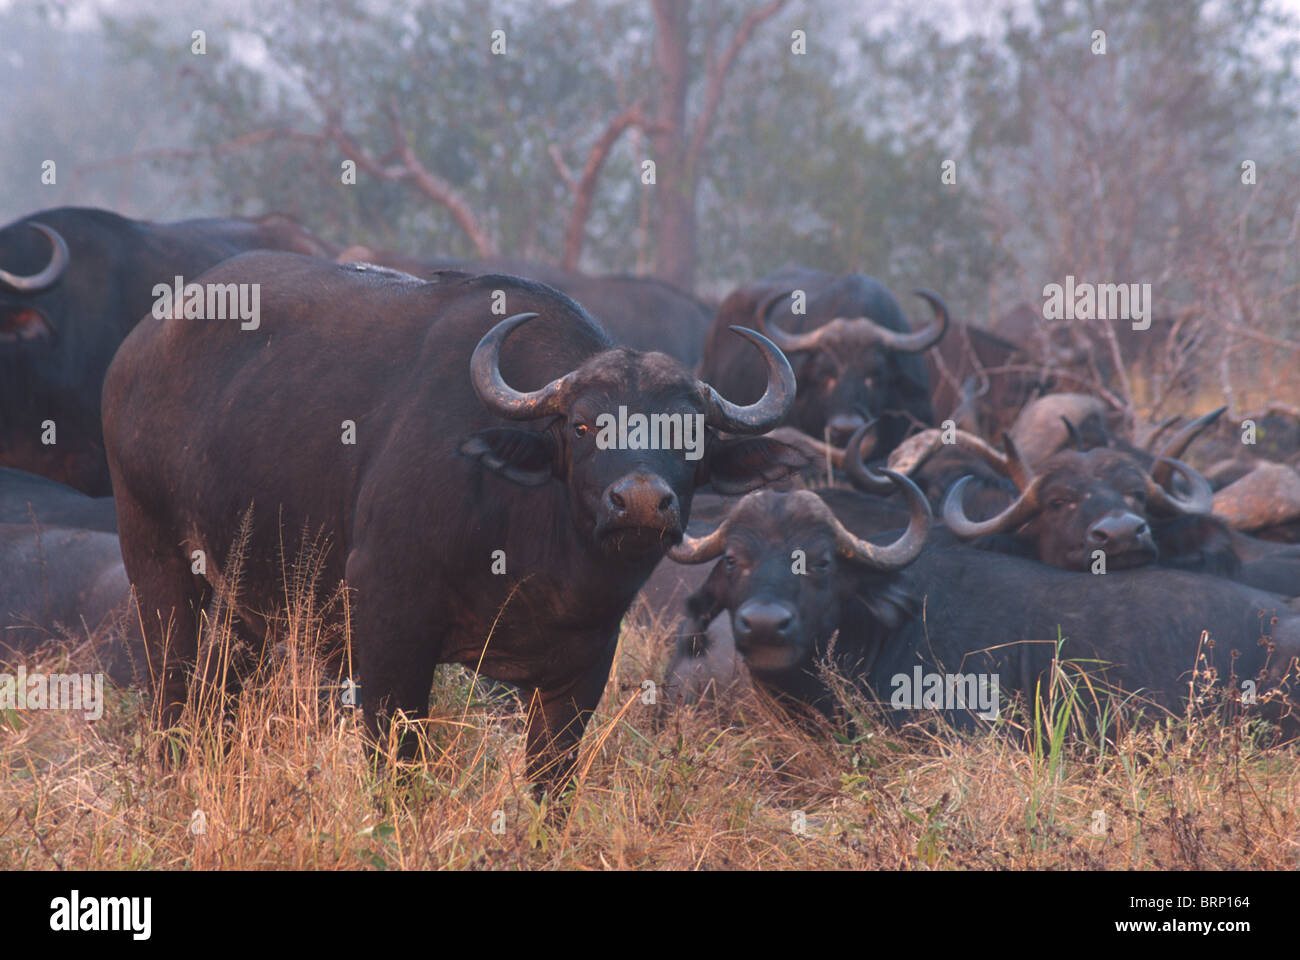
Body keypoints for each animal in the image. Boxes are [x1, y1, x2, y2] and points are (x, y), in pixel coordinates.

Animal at [102, 251, 803, 791]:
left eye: (691, 435)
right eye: (583, 426)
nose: (638, 502)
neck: (539, 550)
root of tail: (139, 346)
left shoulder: (581, 668)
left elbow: (551, 784)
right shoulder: (390, 630)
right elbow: (395, 768)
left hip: (245, 596)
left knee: (220, 691)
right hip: (155, 559)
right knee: (172, 688)